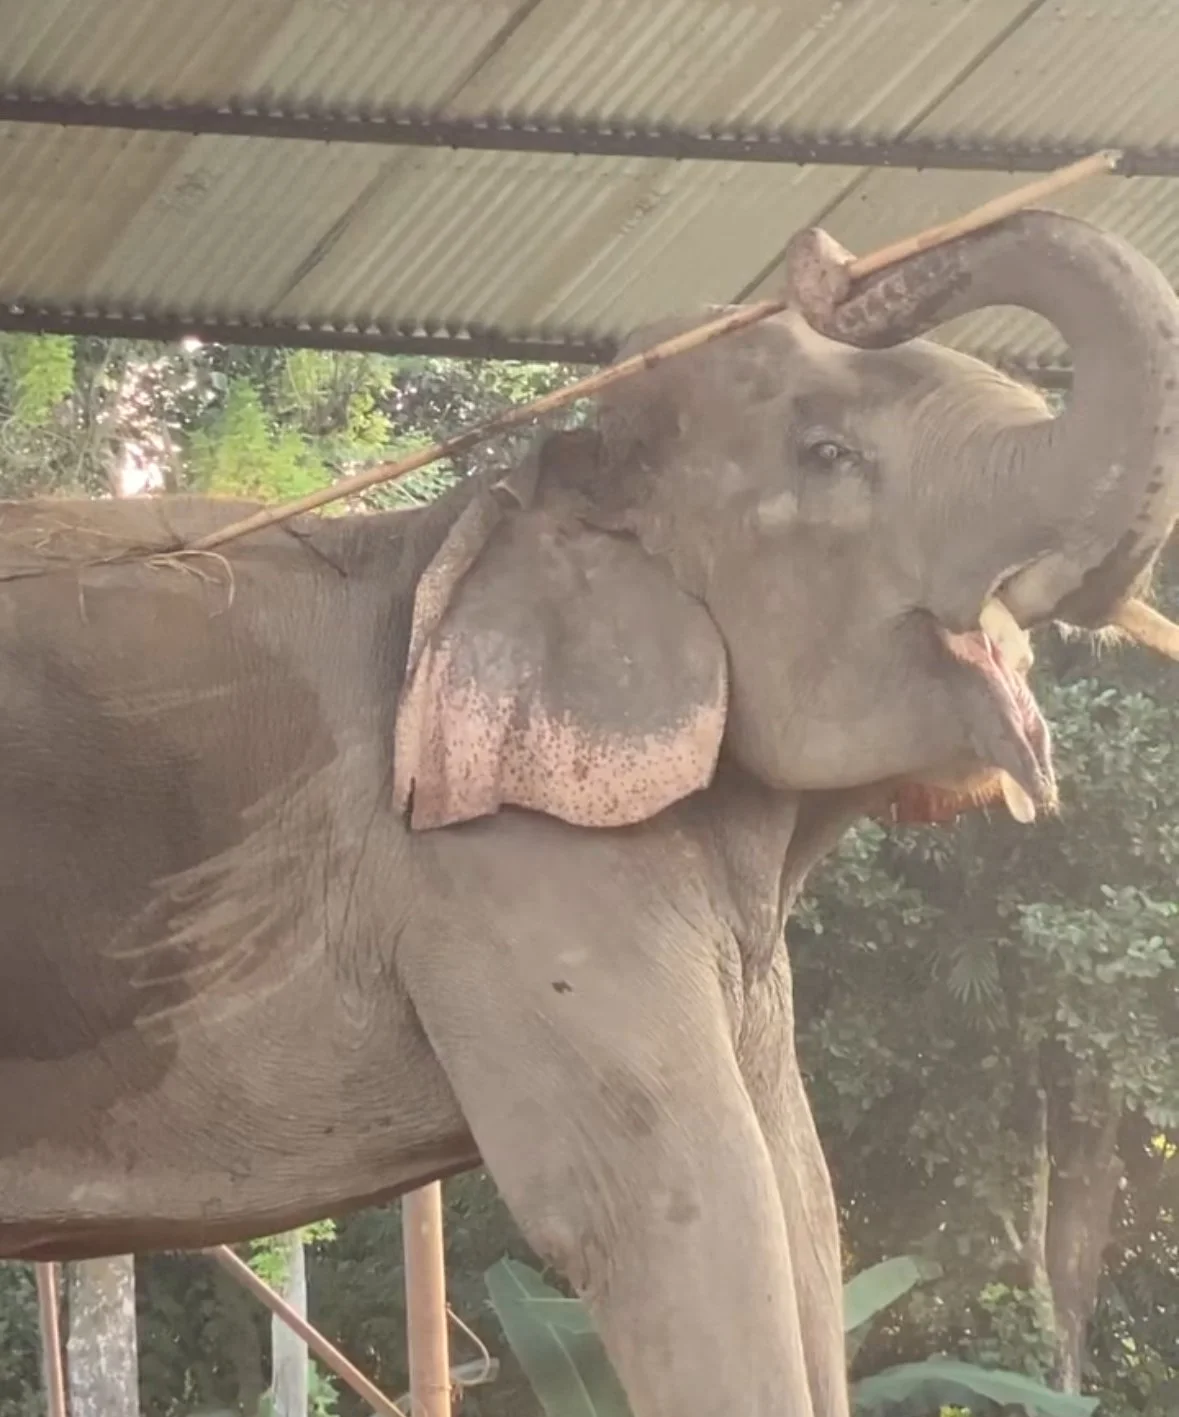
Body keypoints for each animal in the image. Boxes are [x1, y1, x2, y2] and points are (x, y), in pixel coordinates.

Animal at [2, 208, 1179, 1417]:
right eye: (828, 455)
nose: (827, 254)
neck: (538, 501)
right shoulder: (502, 871)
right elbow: (676, 1209)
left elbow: (800, 1197)